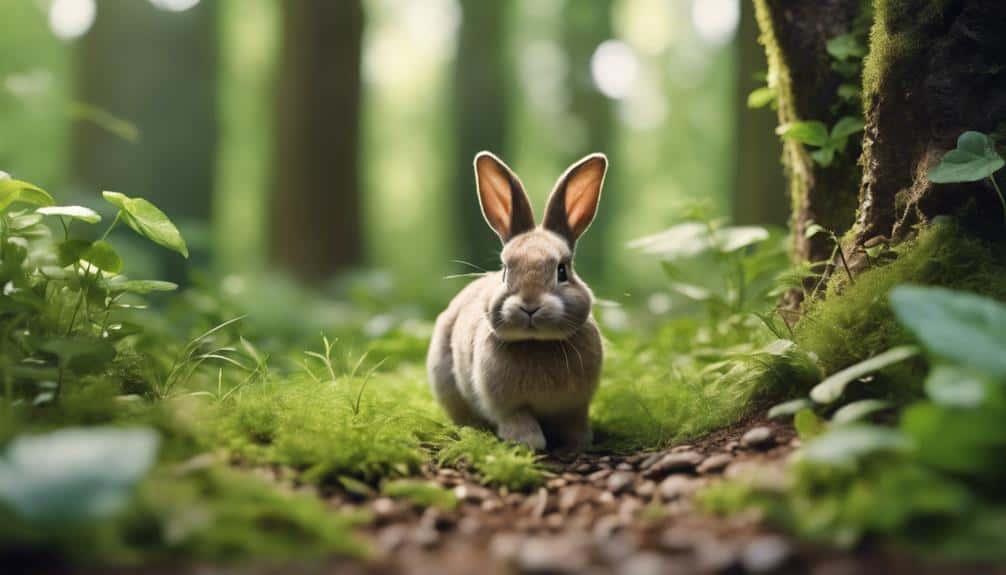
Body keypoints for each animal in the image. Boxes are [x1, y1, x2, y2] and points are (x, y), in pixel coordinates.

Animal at [427, 151, 607, 452]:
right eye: (505, 271)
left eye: (562, 271)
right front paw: (527, 442)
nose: (529, 306)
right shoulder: (508, 407)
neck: (537, 344)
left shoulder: (575, 407)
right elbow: (519, 420)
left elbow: (574, 423)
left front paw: (579, 443)